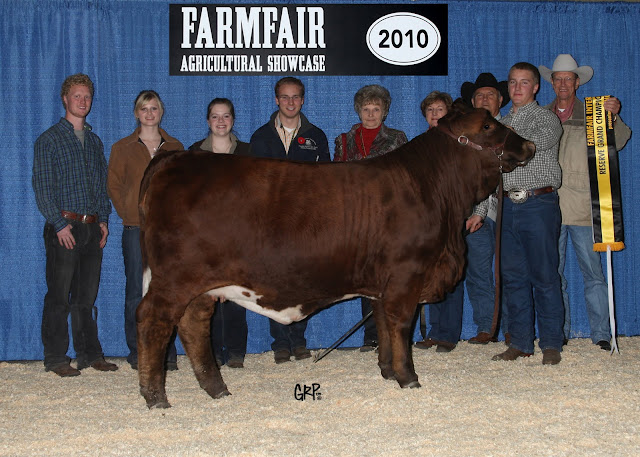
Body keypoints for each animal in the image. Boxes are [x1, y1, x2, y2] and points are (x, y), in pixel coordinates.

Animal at [136, 102, 535, 408]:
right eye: (488, 125)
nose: (530, 144)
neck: (434, 191)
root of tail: (175, 157)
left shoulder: (383, 284)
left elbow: (384, 324)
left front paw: (387, 370)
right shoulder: (406, 273)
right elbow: (401, 325)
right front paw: (408, 378)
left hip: (199, 285)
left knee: (193, 324)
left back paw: (216, 389)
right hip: (175, 278)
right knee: (154, 321)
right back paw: (156, 397)